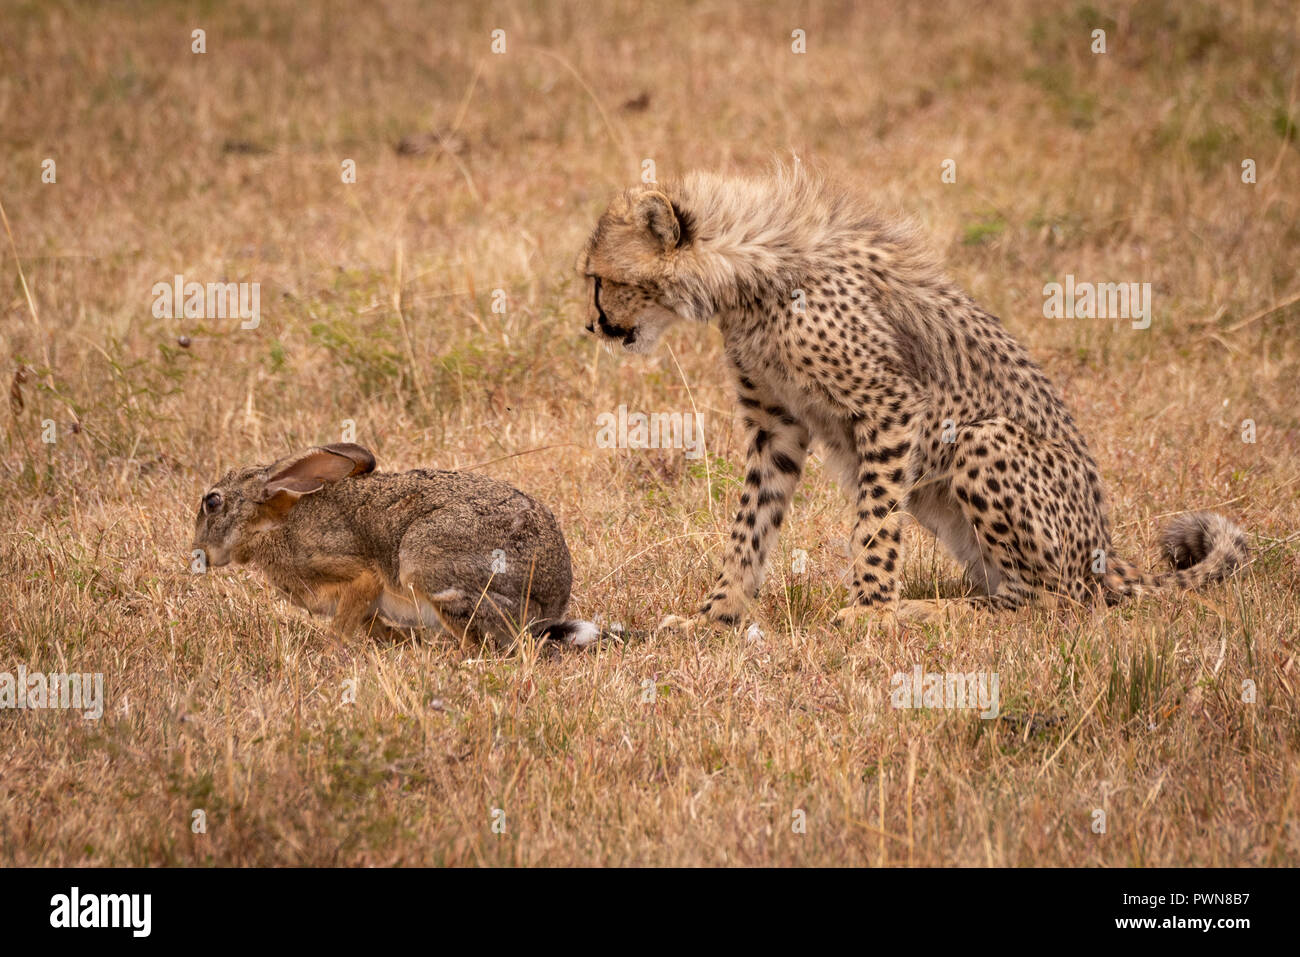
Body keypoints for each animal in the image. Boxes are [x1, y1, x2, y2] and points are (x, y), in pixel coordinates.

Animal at [191, 442, 602, 649]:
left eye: (212, 502)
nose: (200, 555)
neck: (272, 526)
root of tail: (546, 609)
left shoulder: (356, 577)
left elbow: (344, 623)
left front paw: (332, 653)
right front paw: (403, 643)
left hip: (426, 564)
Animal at [577, 165, 1249, 632]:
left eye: (600, 278)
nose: (591, 326)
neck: (743, 270)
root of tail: (1105, 548)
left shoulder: (890, 405)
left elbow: (874, 528)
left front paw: (871, 613)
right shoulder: (778, 426)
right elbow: (750, 525)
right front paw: (716, 617)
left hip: (984, 440)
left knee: (1049, 601)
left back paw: (922, 612)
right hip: (939, 499)